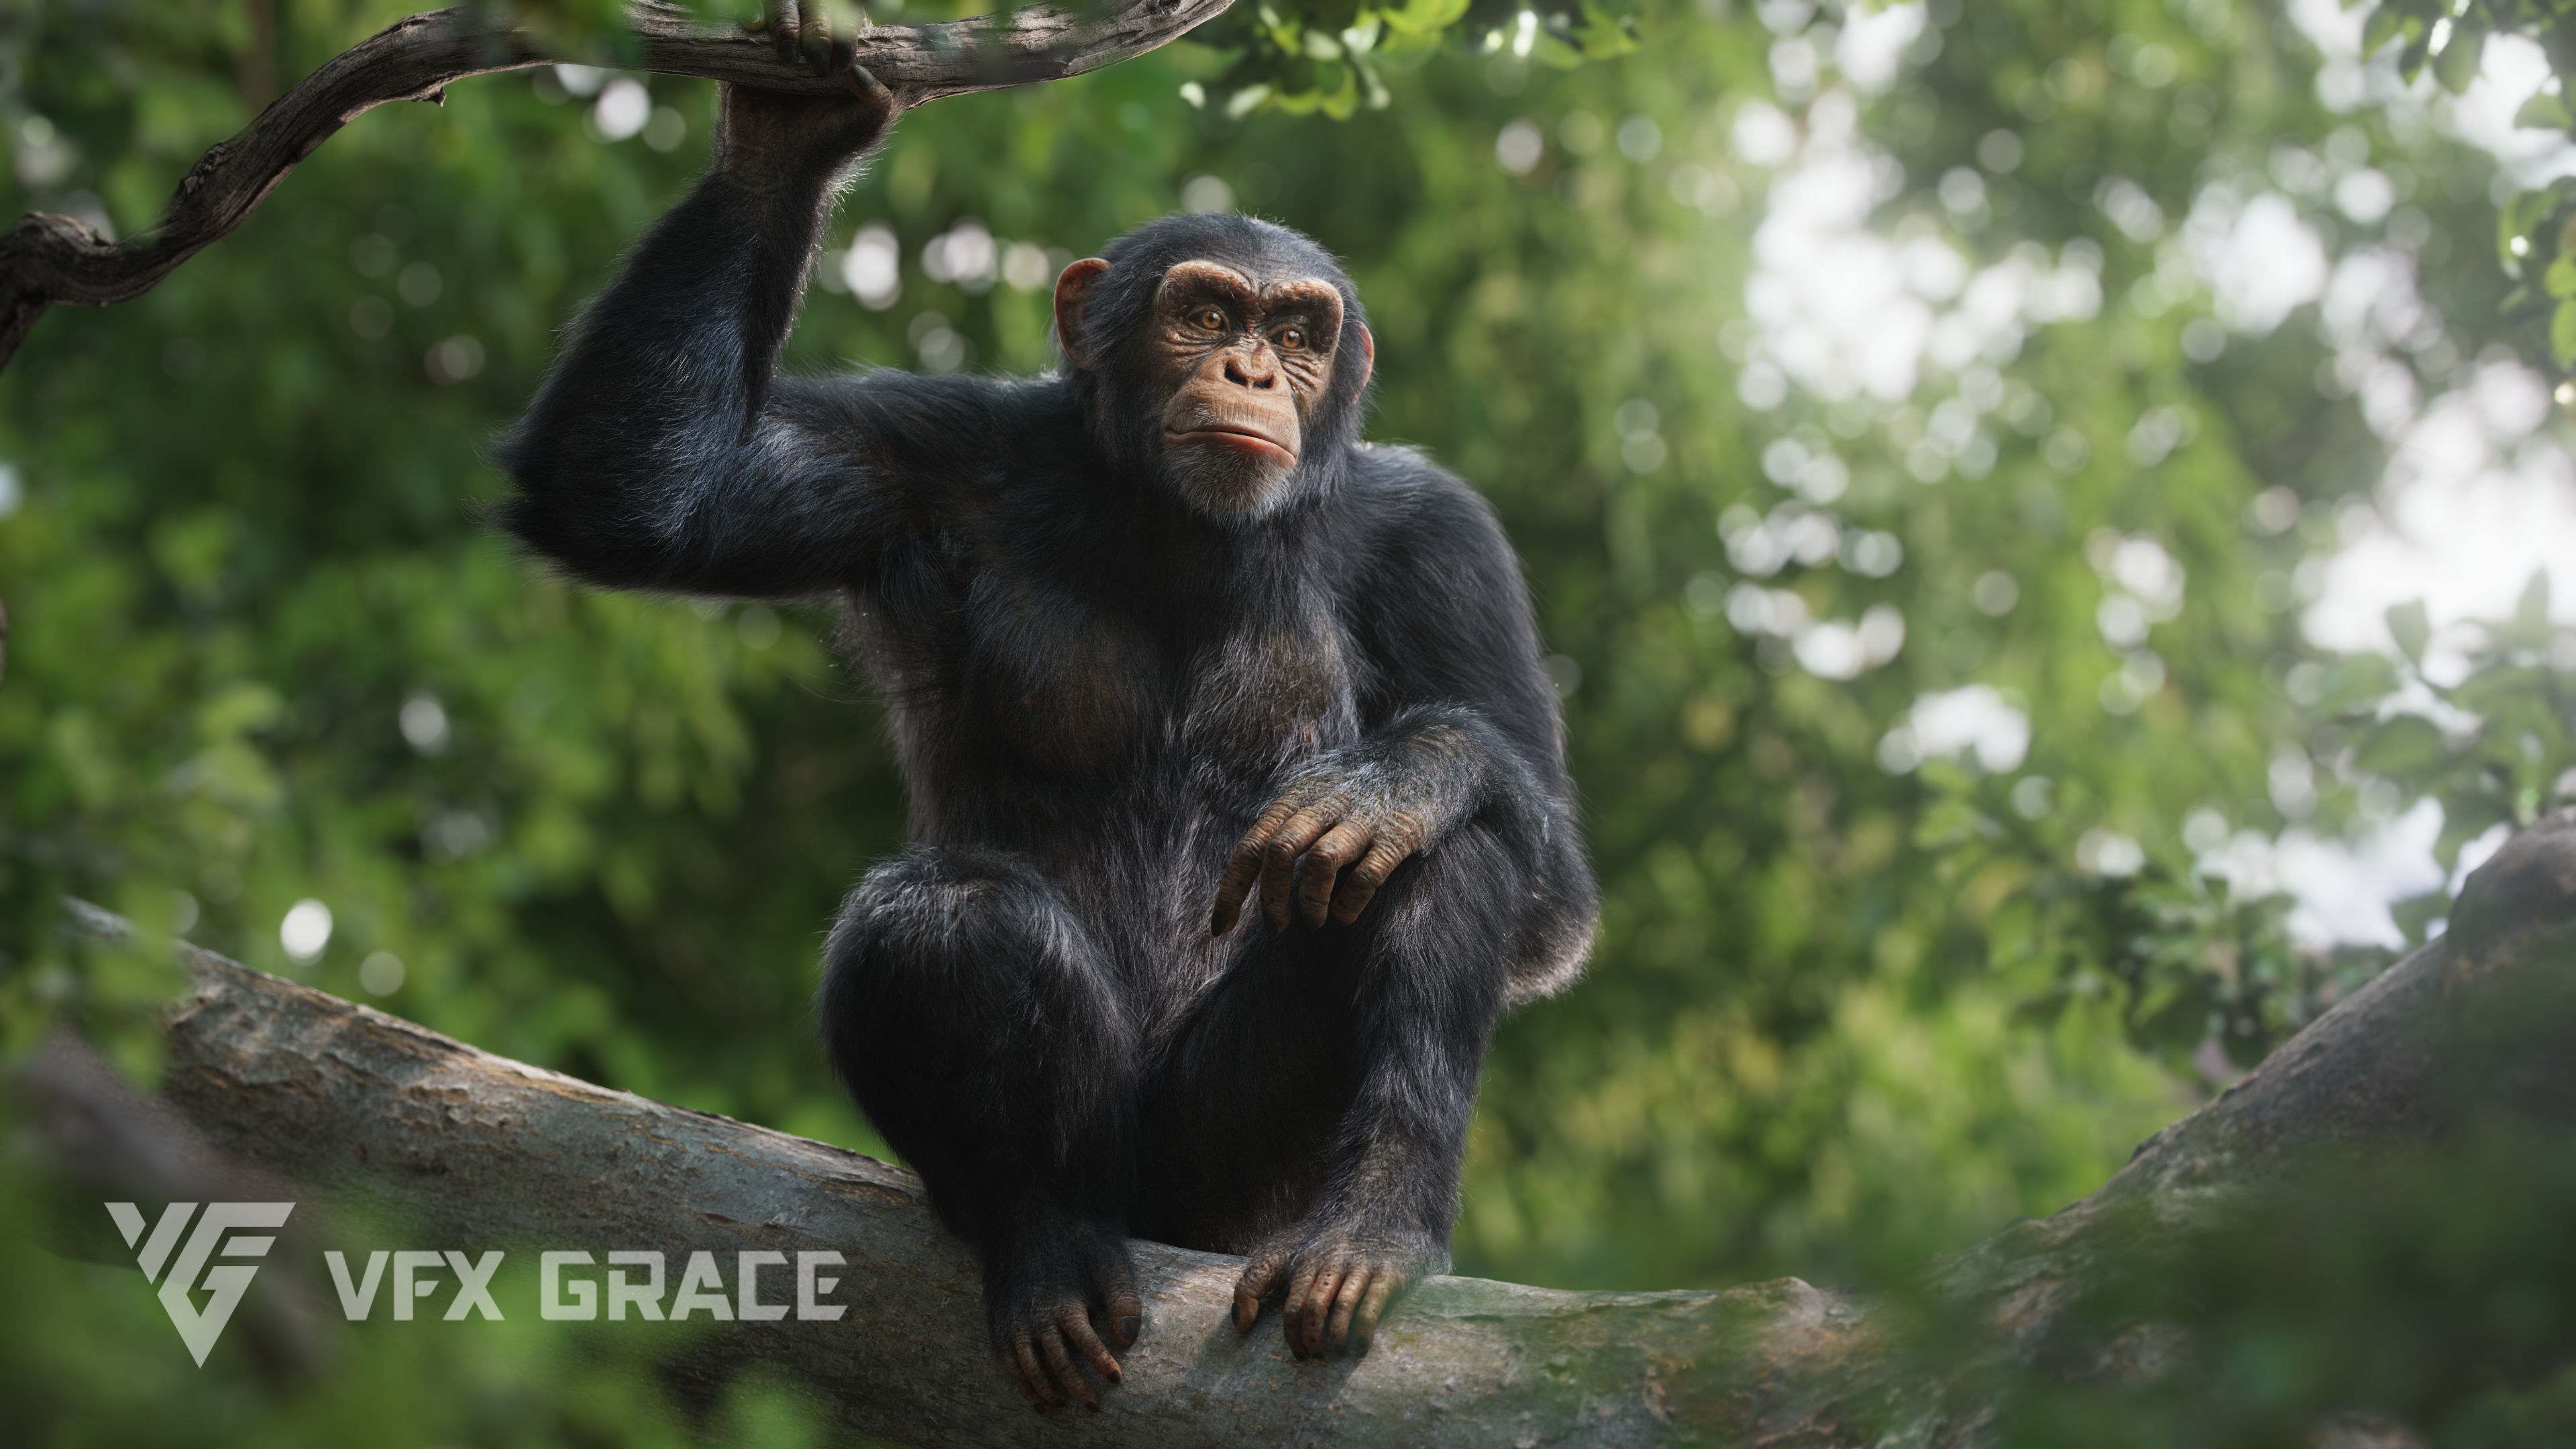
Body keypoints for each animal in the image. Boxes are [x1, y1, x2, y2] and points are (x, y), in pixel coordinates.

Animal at [495, 8, 1595, 1411]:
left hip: (1231, 1183)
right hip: (1110, 1166)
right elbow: (637, 498)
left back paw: (1372, 1226)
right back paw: (1046, 1244)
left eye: (1299, 331)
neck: (1181, 527)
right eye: (1202, 311)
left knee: (1434, 860)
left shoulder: (1446, 541)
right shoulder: (918, 450)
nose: (1251, 368)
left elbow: (1548, 891)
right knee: (945, 917)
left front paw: (1396, 781)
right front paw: (792, 138)